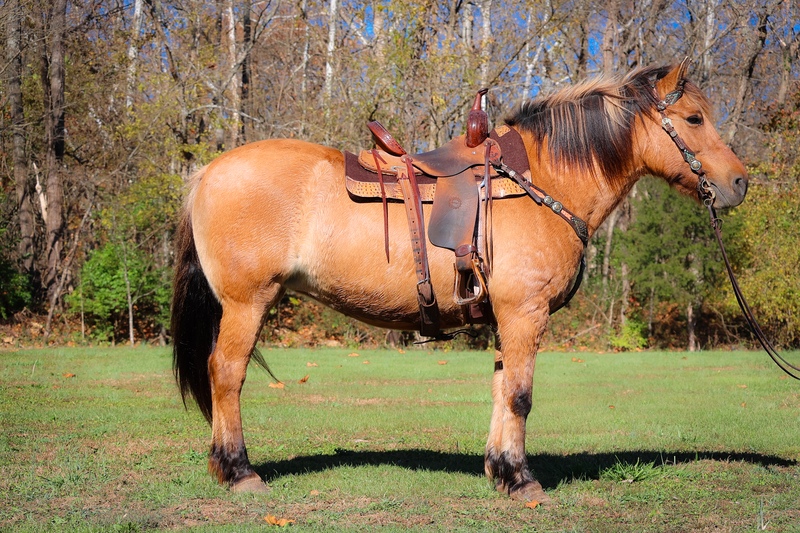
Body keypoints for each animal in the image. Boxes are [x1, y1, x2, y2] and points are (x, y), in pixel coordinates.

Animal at [171, 61, 748, 502]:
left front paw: (500, 470)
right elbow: (520, 396)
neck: (542, 180)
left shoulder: (506, 318)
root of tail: (206, 173)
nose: (739, 182)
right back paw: (239, 471)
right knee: (226, 373)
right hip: (247, 302)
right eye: (694, 118)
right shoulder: (524, 313)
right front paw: (523, 481)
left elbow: (501, 389)